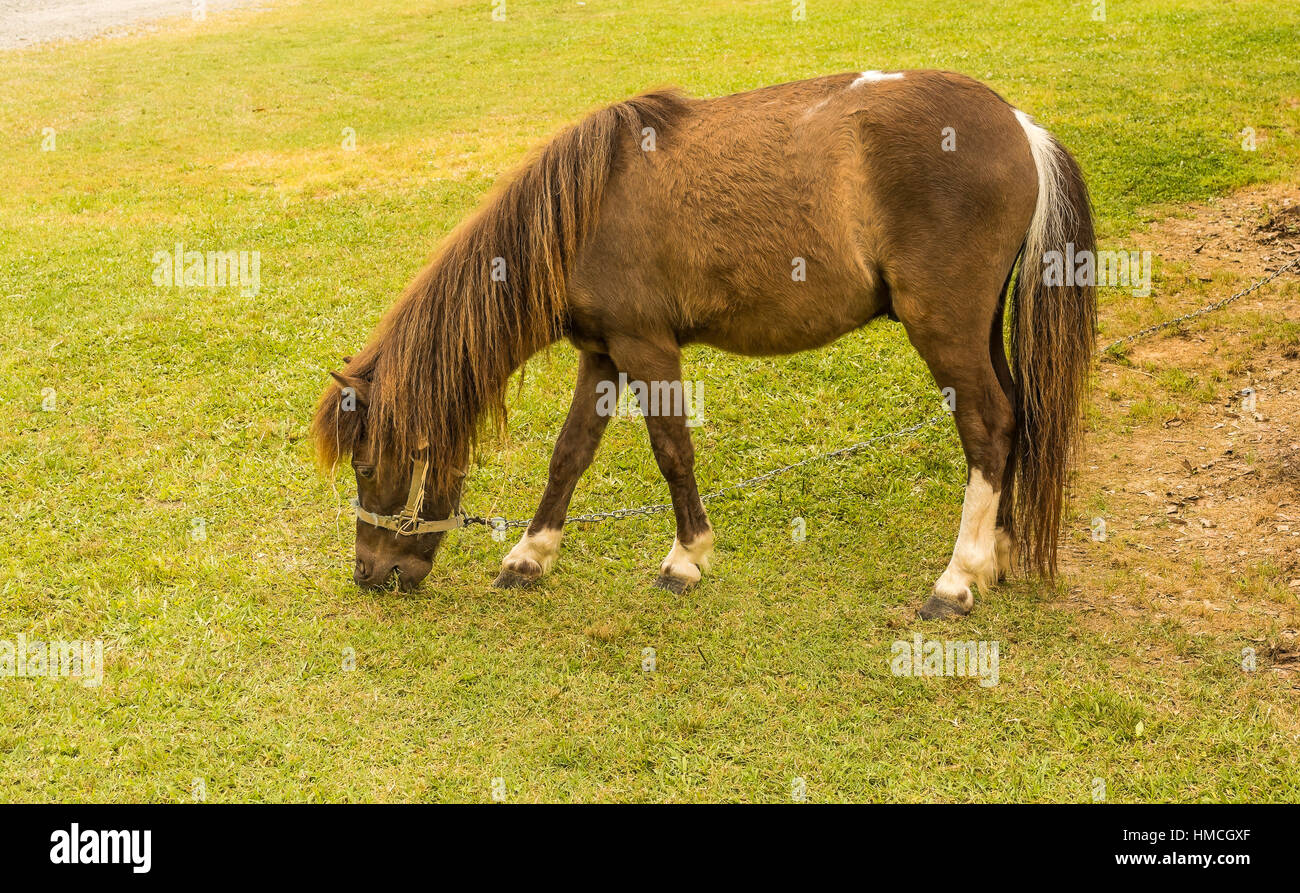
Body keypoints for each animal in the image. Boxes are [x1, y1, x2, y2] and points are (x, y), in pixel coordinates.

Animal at [311, 70, 1095, 618]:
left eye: (368, 464)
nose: (368, 575)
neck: (584, 211)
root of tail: (1020, 127)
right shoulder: (602, 354)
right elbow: (570, 455)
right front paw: (530, 556)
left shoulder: (647, 349)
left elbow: (672, 452)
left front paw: (685, 559)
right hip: (976, 330)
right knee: (1015, 418)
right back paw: (994, 554)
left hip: (944, 329)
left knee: (988, 427)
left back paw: (957, 580)